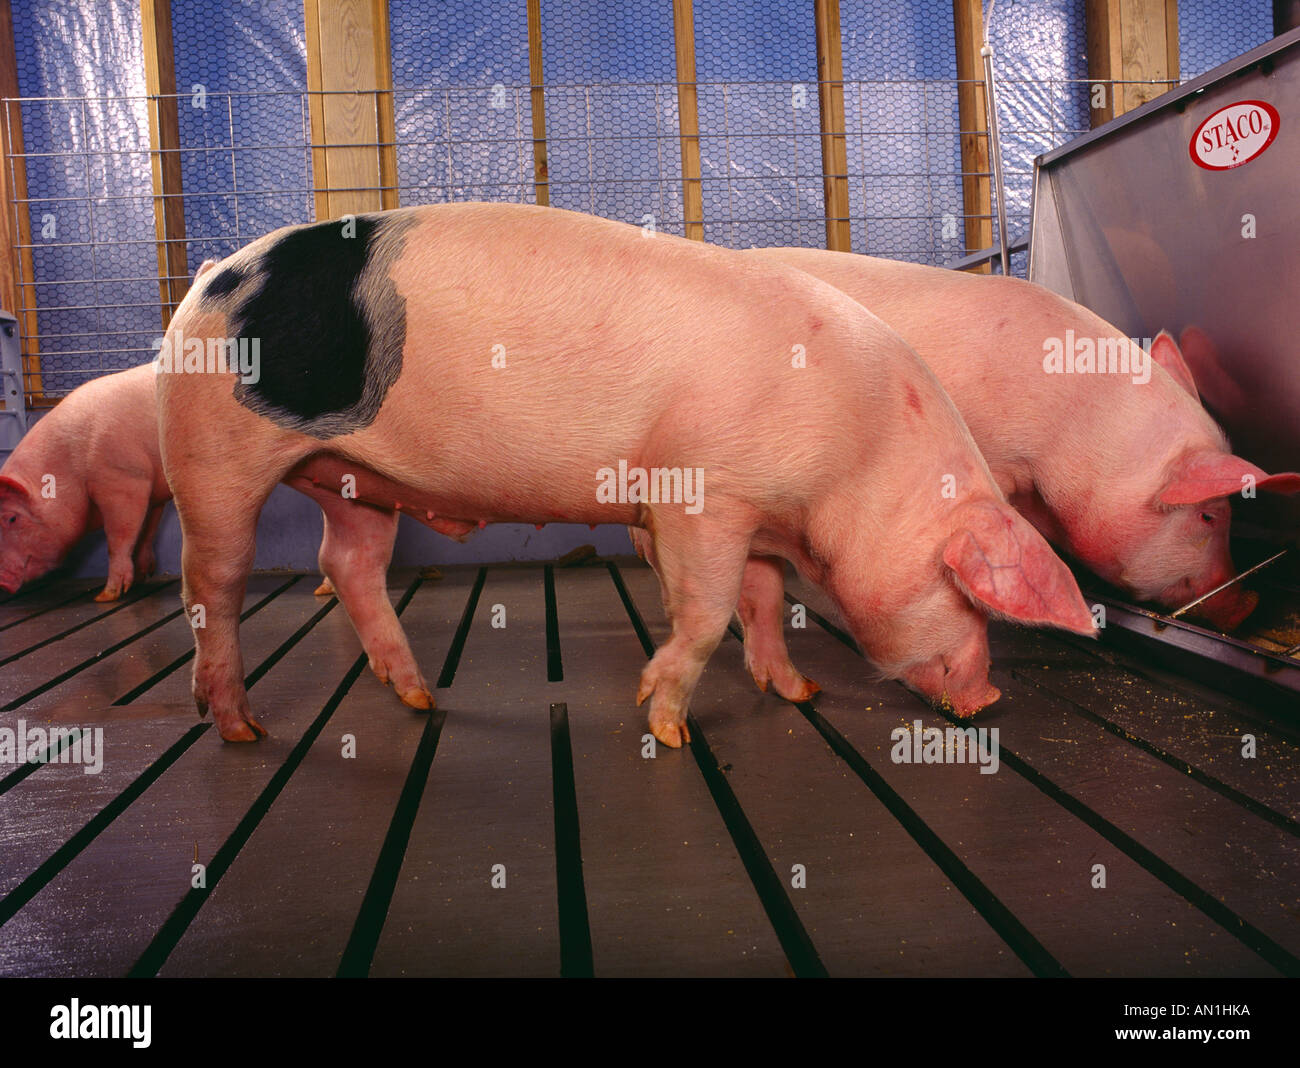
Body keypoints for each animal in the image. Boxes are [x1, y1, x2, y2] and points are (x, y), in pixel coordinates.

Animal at [155, 201, 1096, 746]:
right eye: (969, 596)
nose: (988, 697)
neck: (860, 459)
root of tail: (208, 277)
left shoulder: (755, 514)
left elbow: (761, 603)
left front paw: (799, 690)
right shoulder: (701, 497)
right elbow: (708, 612)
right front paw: (669, 725)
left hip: (349, 472)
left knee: (347, 565)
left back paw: (419, 698)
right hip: (212, 452)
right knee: (213, 582)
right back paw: (238, 727)